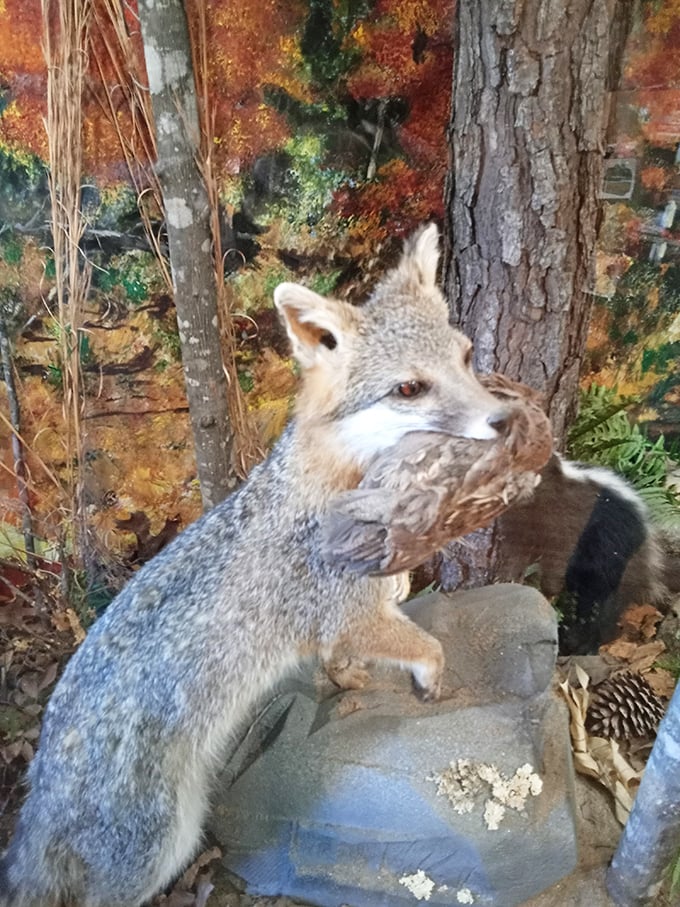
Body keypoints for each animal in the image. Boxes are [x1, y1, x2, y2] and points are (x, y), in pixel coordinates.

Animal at [0, 224, 517, 907]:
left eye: (465, 358)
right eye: (409, 389)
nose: (505, 420)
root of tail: (41, 782)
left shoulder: (341, 620)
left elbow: (350, 646)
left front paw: (347, 677)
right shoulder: (348, 613)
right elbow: (426, 646)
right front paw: (431, 680)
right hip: (160, 849)